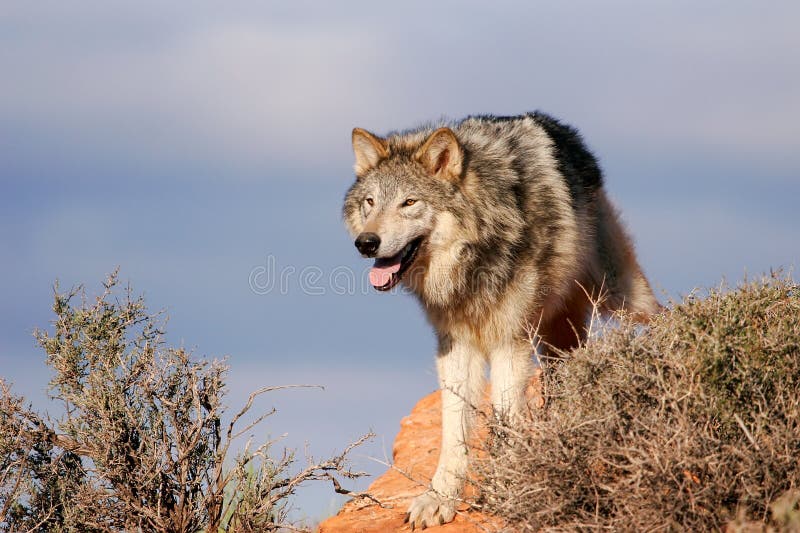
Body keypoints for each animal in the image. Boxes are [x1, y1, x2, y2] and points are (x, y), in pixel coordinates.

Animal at [342, 112, 660, 528]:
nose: (366, 243)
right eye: (370, 202)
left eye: (409, 202)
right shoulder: (456, 346)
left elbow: (505, 420)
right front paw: (439, 499)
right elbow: (454, 432)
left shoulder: (510, 342)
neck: (475, 254)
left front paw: (507, 489)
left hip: (620, 298)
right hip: (559, 337)